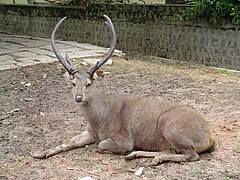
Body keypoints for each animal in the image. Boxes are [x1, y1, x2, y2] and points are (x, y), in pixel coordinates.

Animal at [31, 14, 217, 165]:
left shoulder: (124, 139)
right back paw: (140, 156)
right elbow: (68, 141)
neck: (99, 121)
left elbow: (101, 145)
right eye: (72, 83)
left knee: (191, 155)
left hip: (171, 126)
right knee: (170, 150)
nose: (78, 97)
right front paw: (39, 153)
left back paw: (149, 157)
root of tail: (210, 137)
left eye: (89, 83)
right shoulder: (88, 132)